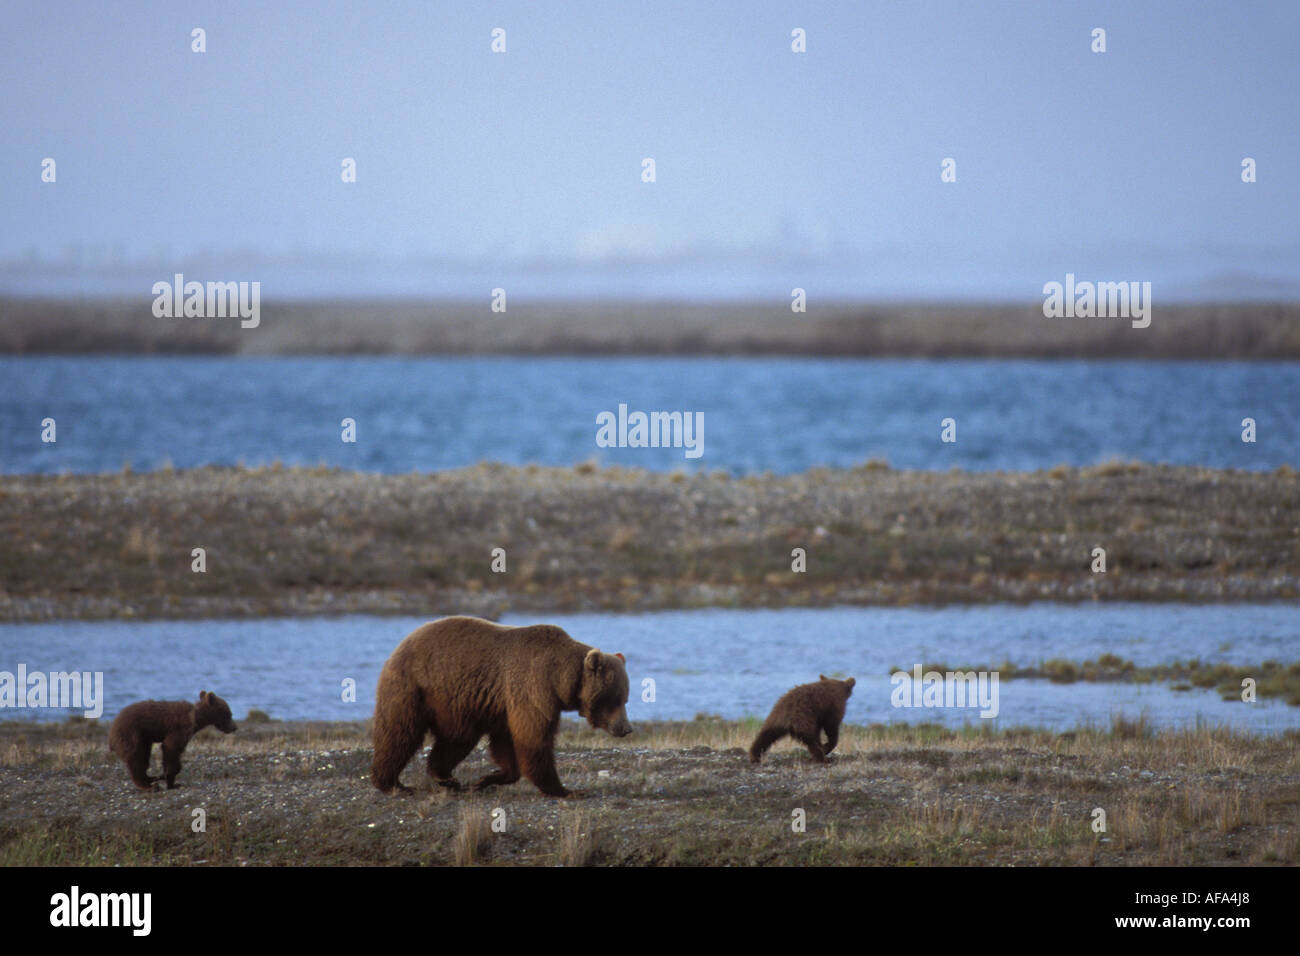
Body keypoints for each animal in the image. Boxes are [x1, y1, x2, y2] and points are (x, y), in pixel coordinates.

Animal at [108, 690, 237, 790]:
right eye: (229, 713)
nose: (234, 727)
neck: (195, 718)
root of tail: (112, 728)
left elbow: (170, 752)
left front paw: (170, 780)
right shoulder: (180, 728)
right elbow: (172, 748)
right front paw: (169, 778)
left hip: (142, 738)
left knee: (143, 756)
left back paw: (150, 778)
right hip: (132, 734)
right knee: (137, 757)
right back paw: (148, 786)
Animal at [370, 616, 632, 798]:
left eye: (625, 698)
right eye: (614, 699)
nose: (626, 728)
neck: (562, 679)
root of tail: (402, 643)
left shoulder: (502, 704)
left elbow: (505, 742)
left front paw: (488, 779)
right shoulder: (533, 689)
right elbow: (534, 739)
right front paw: (564, 789)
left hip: (456, 704)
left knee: (457, 739)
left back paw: (445, 777)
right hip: (413, 687)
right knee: (399, 732)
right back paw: (392, 783)